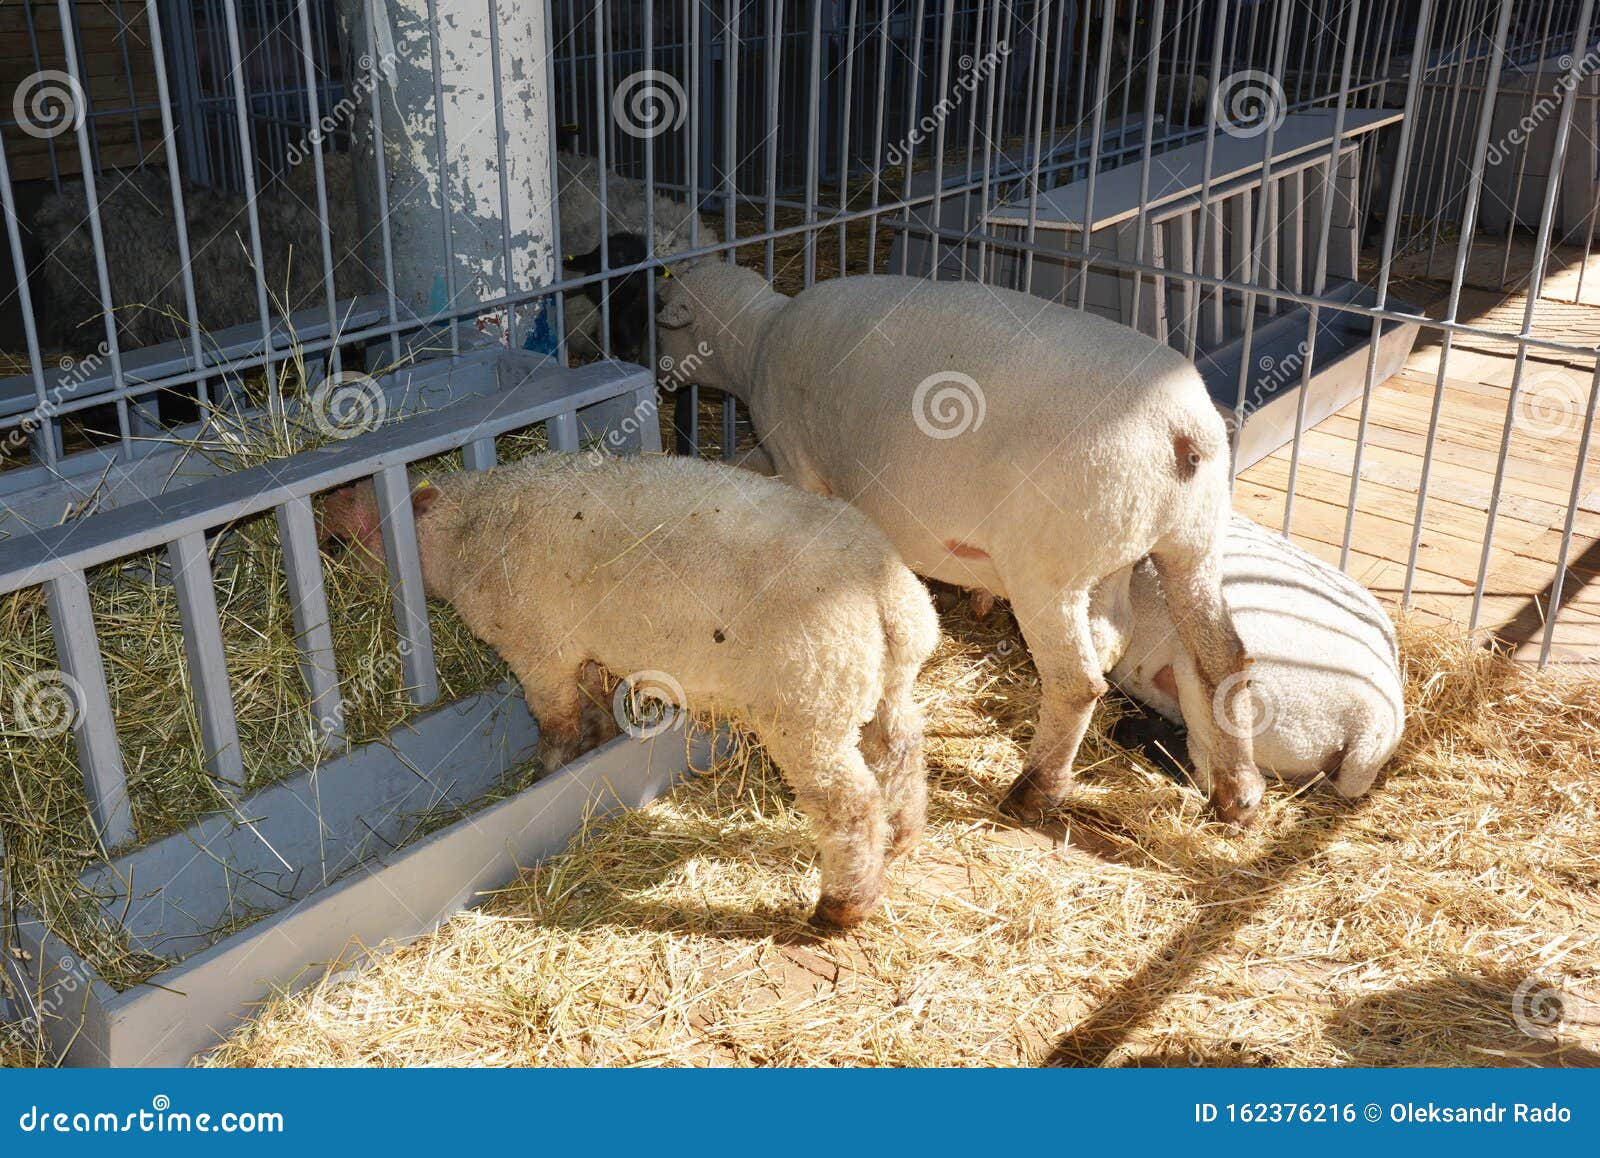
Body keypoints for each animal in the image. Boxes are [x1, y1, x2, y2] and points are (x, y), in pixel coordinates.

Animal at [317, 451, 940, 929]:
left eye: (360, 514)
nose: (327, 510)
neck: (470, 528)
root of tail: (887, 595)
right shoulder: (582, 647)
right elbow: (592, 700)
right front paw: (593, 743)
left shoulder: (539, 650)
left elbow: (556, 723)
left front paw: (546, 775)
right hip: (883, 687)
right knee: (902, 750)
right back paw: (903, 838)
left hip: (809, 709)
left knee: (850, 806)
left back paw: (842, 907)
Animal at [656, 262, 1265, 825]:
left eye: (661, 310)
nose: (660, 381)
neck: (760, 336)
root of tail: (1181, 430)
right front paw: (964, 598)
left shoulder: (799, 463)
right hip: (1177, 542)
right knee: (1208, 652)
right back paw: (1237, 793)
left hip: (1048, 565)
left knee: (1077, 682)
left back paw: (1034, 790)